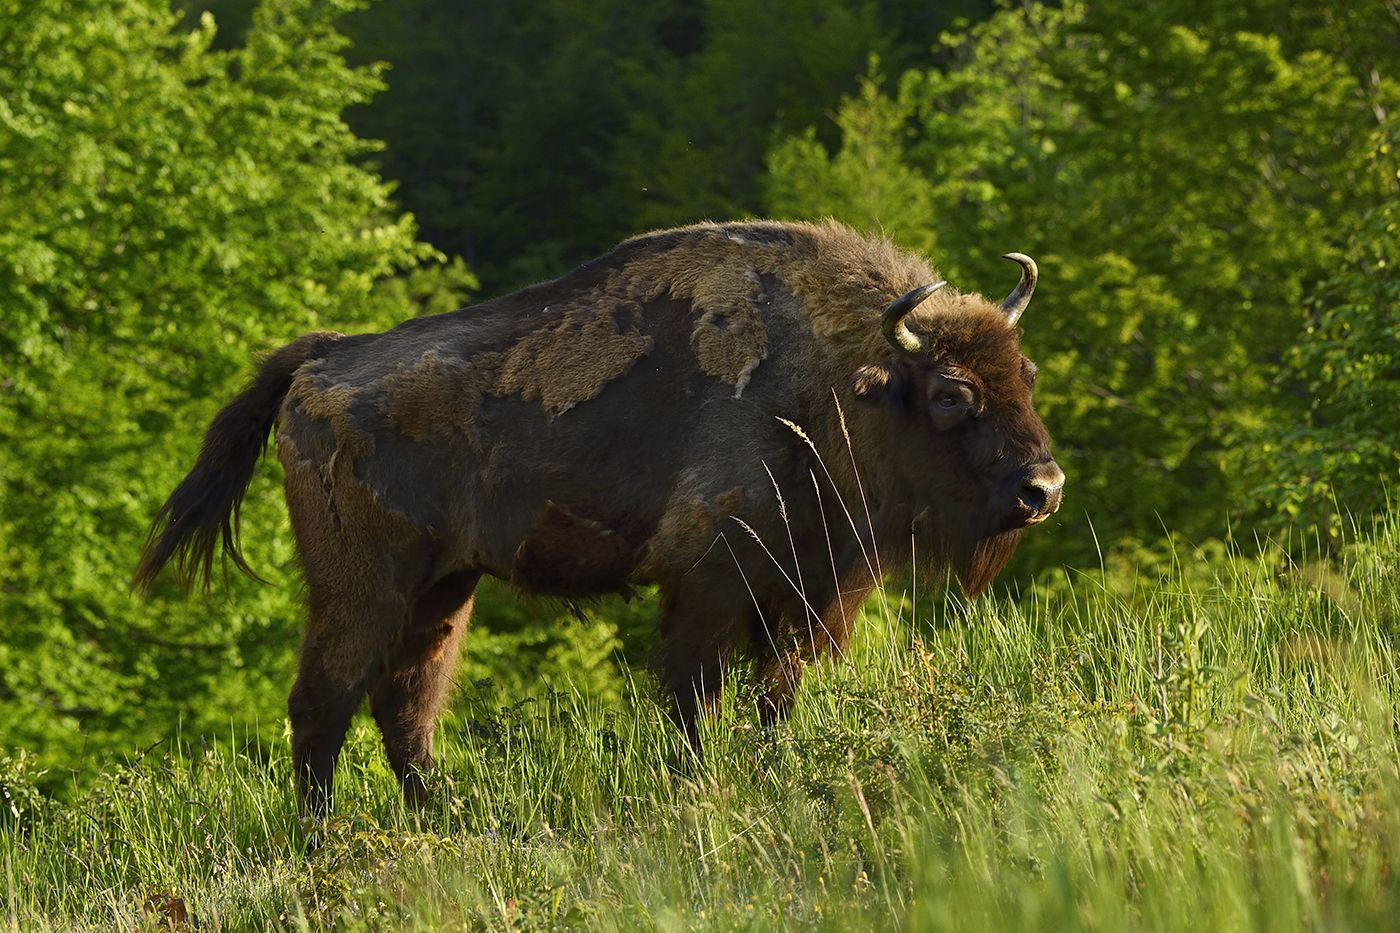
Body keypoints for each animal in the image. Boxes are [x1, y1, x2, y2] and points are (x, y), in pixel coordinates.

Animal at [135, 220, 1063, 811]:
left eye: (1026, 372)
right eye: (951, 393)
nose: (1044, 488)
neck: (836, 376)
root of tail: (324, 361)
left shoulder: (812, 596)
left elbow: (777, 697)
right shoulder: (709, 584)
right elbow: (695, 698)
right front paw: (698, 781)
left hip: (445, 589)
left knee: (404, 706)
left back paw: (441, 818)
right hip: (361, 589)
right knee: (323, 703)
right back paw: (322, 839)